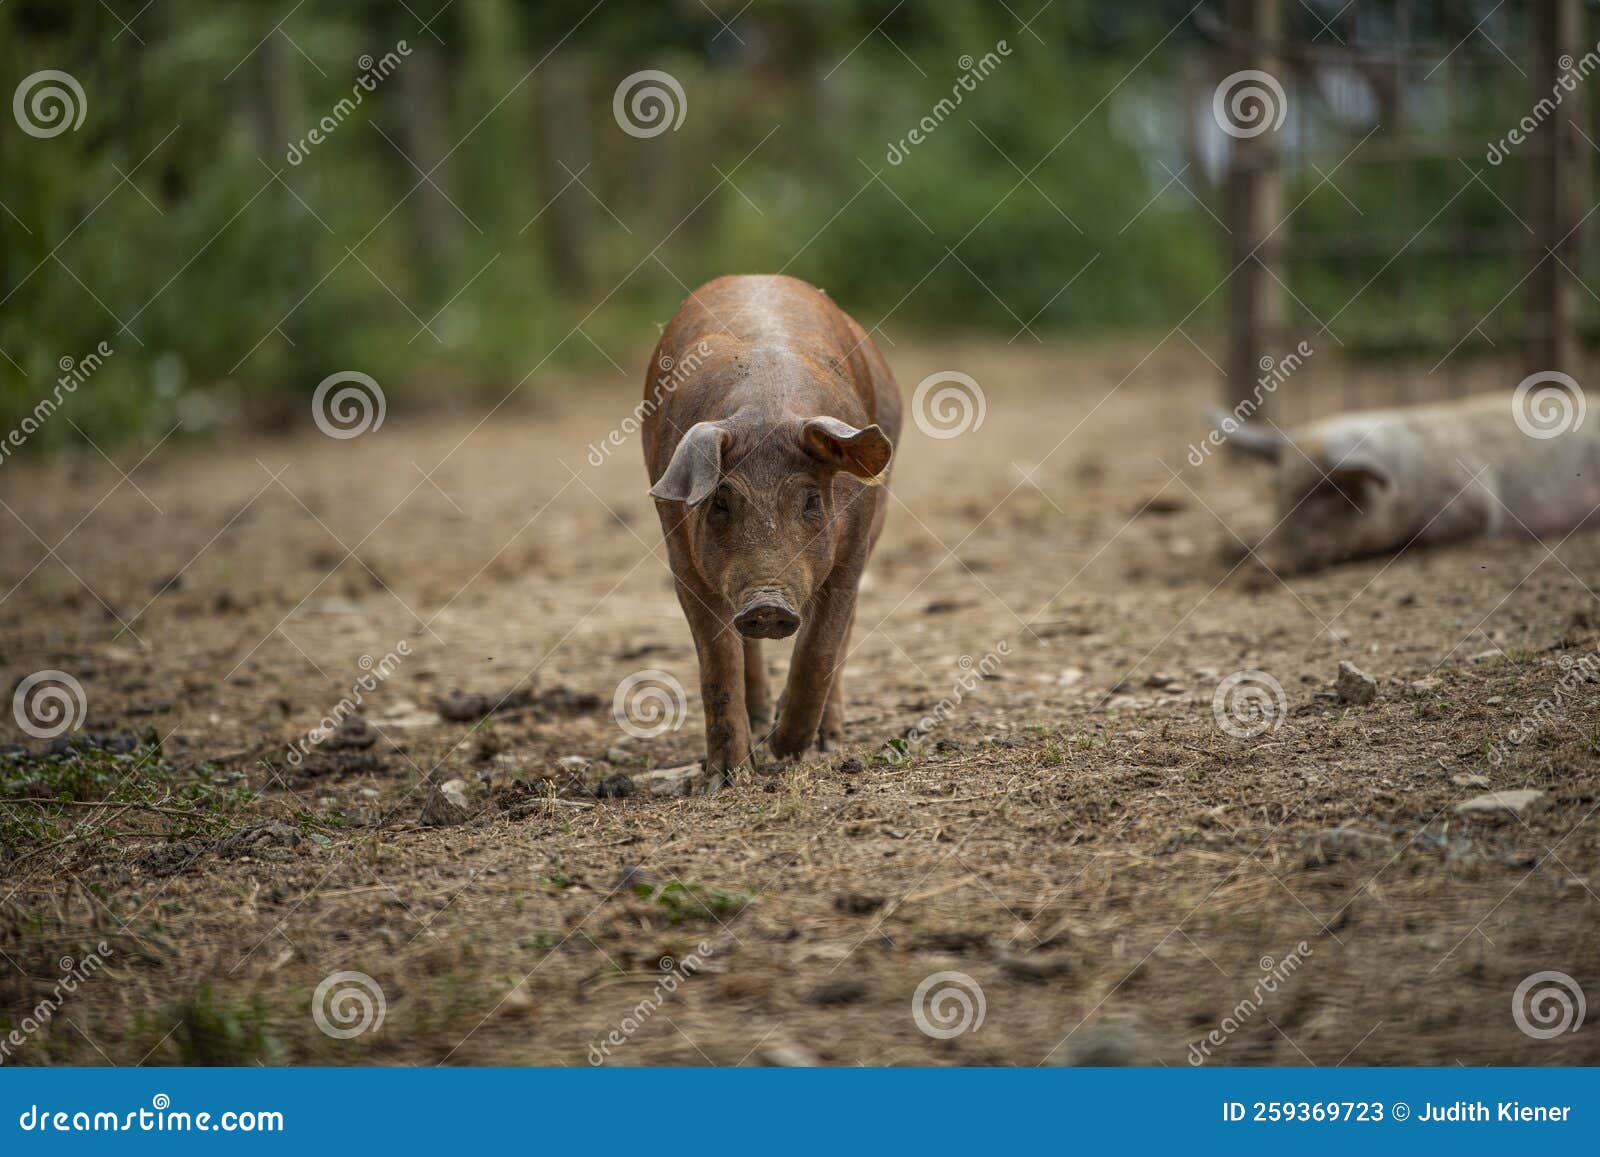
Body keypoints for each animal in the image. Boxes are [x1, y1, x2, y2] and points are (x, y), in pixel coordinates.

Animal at [643, 275, 902, 785]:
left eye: (811, 500)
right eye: (721, 501)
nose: (767, 605)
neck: (767, 404)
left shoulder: (854, 545)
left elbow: (821, 645)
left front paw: (786, 749)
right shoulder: (682, 553)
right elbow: (718, 660)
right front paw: (727, 778)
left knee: (845, 630)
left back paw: (827, 737)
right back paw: (761, 719)